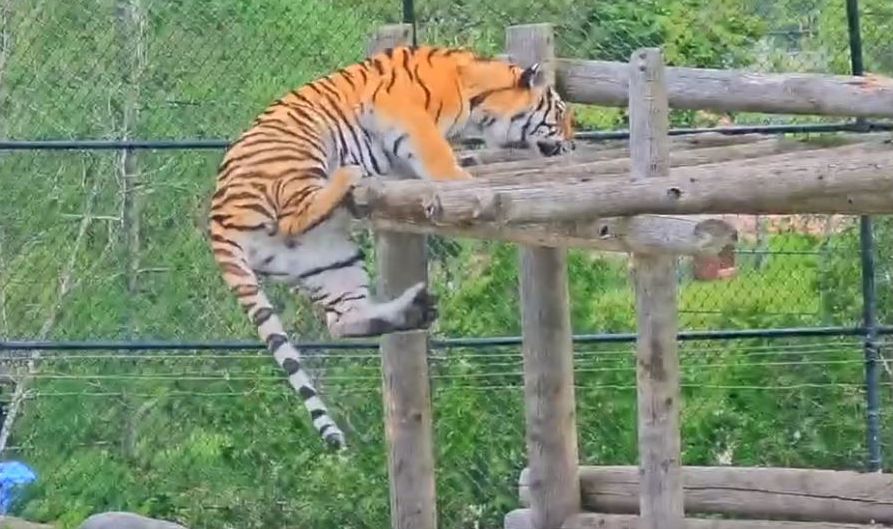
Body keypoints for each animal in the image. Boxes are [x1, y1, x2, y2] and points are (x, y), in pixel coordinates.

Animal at [207, 45, 575, 450]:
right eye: (559, 114)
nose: (573, 144)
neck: (474, 91)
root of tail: (217, 220)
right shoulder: (402, 112)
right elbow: (437, 155)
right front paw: (461, 176)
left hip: (330, 259)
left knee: (342, 319)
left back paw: (412, 311)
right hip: (297, 154)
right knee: (293, 214)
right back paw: (351, 175)